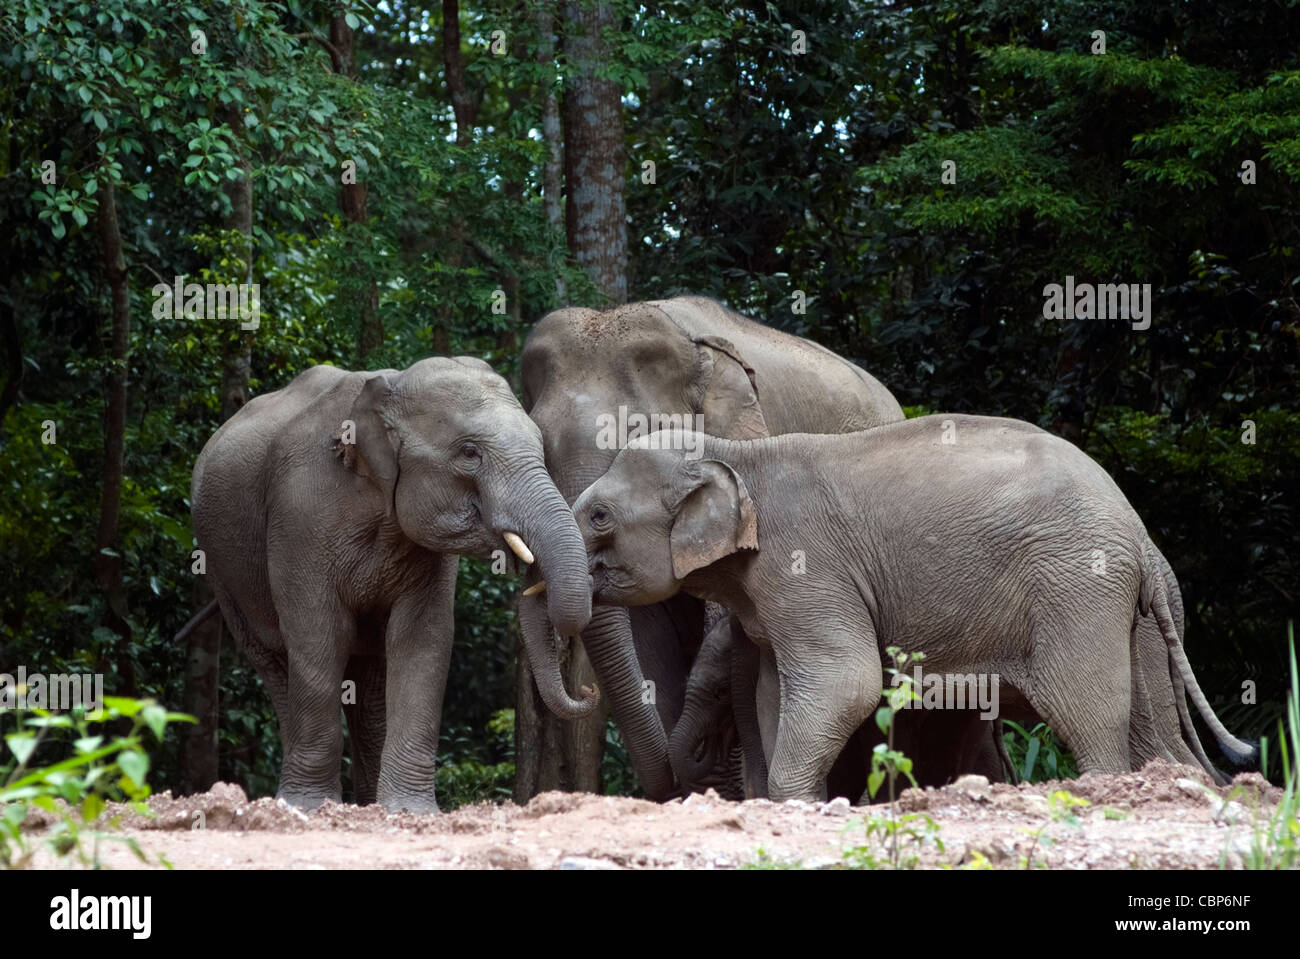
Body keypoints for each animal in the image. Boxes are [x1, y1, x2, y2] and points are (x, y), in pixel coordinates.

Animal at [191, 358, 598, 813]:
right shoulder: (299, 516)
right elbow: (318, 631)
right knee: (277, 661)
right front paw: (310, 808)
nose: (588, 689)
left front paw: (408, 810)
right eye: (469, 452)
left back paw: (369, 803)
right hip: (223, 572)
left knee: (368, 675)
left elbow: (423, 636)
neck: (388, 387)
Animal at [572, 415, 1257, 801]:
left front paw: (796, 803)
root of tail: (1140, 536)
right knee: (1148, 723)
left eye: (600, 516)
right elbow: (775, 692)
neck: (740, 456)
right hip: (1127, 614)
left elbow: (845, 681)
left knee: (1087, 710)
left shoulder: (808, 567)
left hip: (1077, 588)